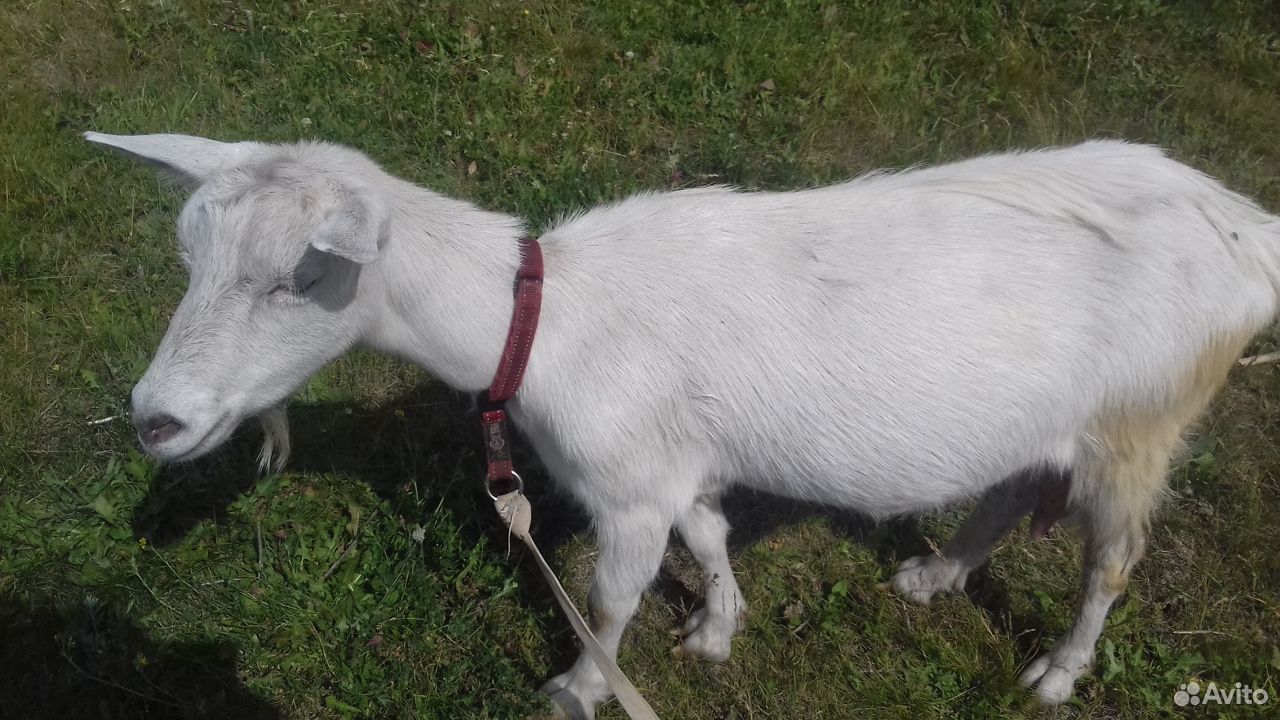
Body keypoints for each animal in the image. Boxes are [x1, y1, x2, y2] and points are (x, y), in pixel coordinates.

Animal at [86, 132, 1280, 718]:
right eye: (191, 256)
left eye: (303, 275)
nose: (155, 421)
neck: (540, 320)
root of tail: (1247, 229)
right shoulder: (671, 463)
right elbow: (705, 532)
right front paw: (715, 628)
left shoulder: (623, 484)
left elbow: (611, 599)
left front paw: (579, 690)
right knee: (1009, 484)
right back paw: (936, 574)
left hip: (1142, 420)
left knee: (1112, 558)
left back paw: (1058, 674)